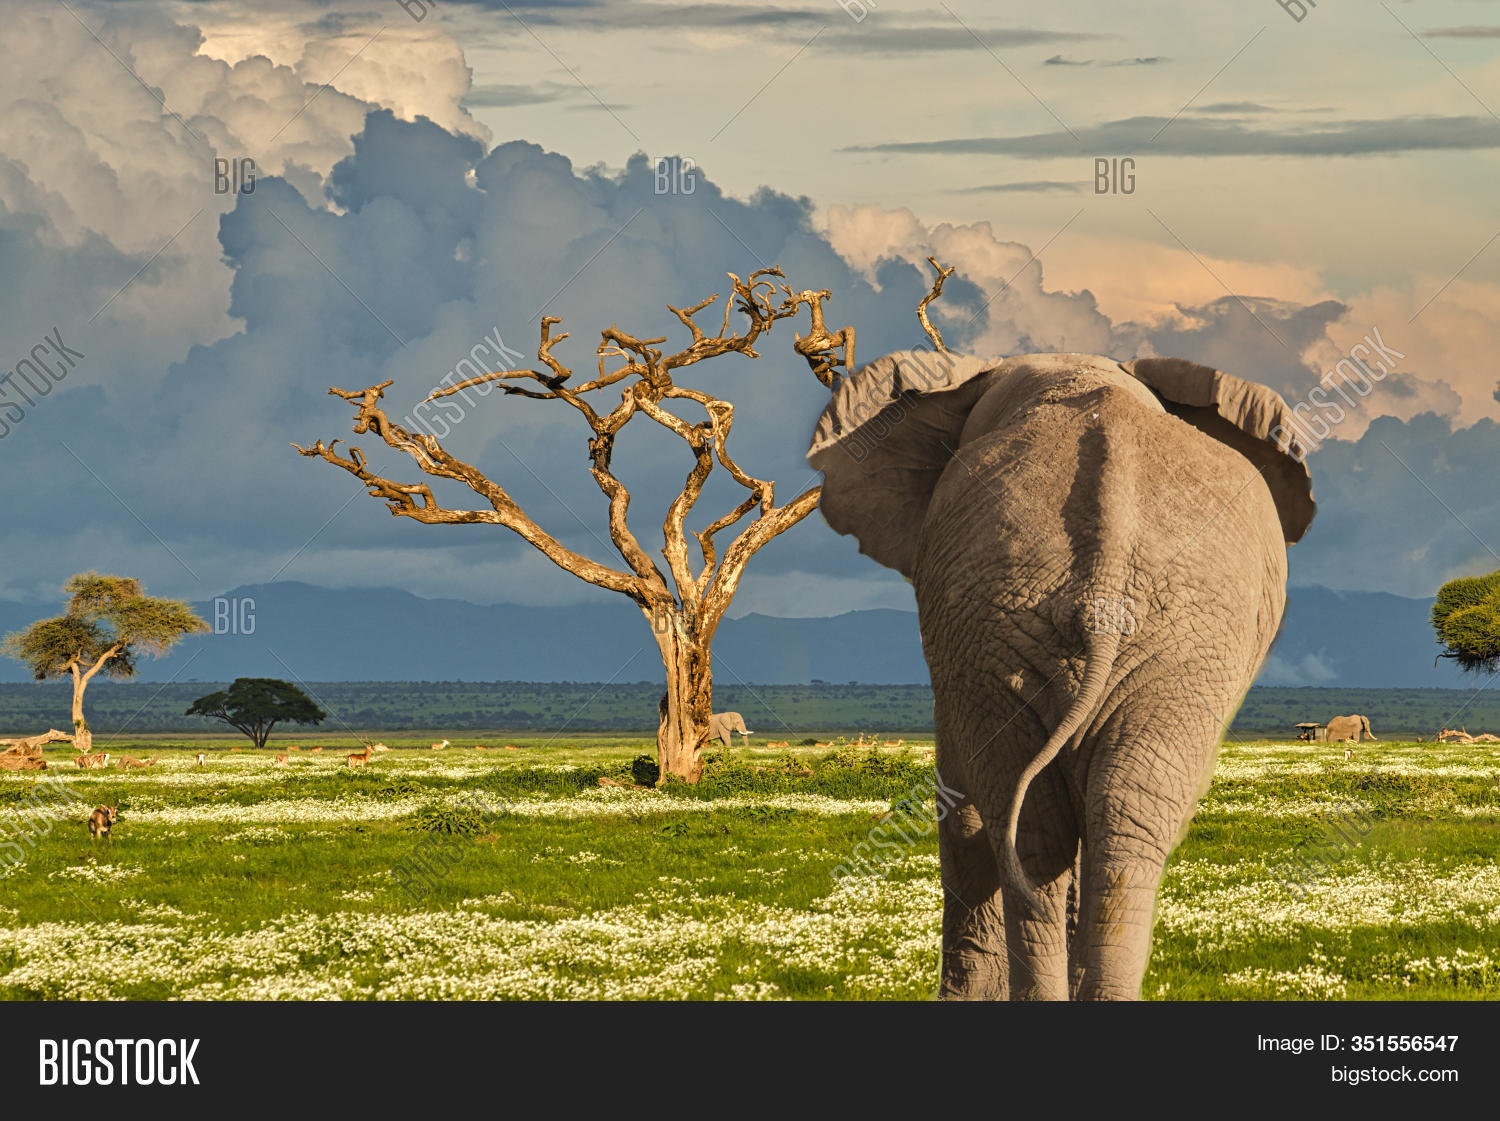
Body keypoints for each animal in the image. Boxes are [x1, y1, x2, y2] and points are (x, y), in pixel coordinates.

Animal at [807, 349, 1314, 1000]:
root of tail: (1106, 566)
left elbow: (963, 803)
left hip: (1090, 632)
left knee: (1046, 823)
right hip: (1142, 636)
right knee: (1102, 819)